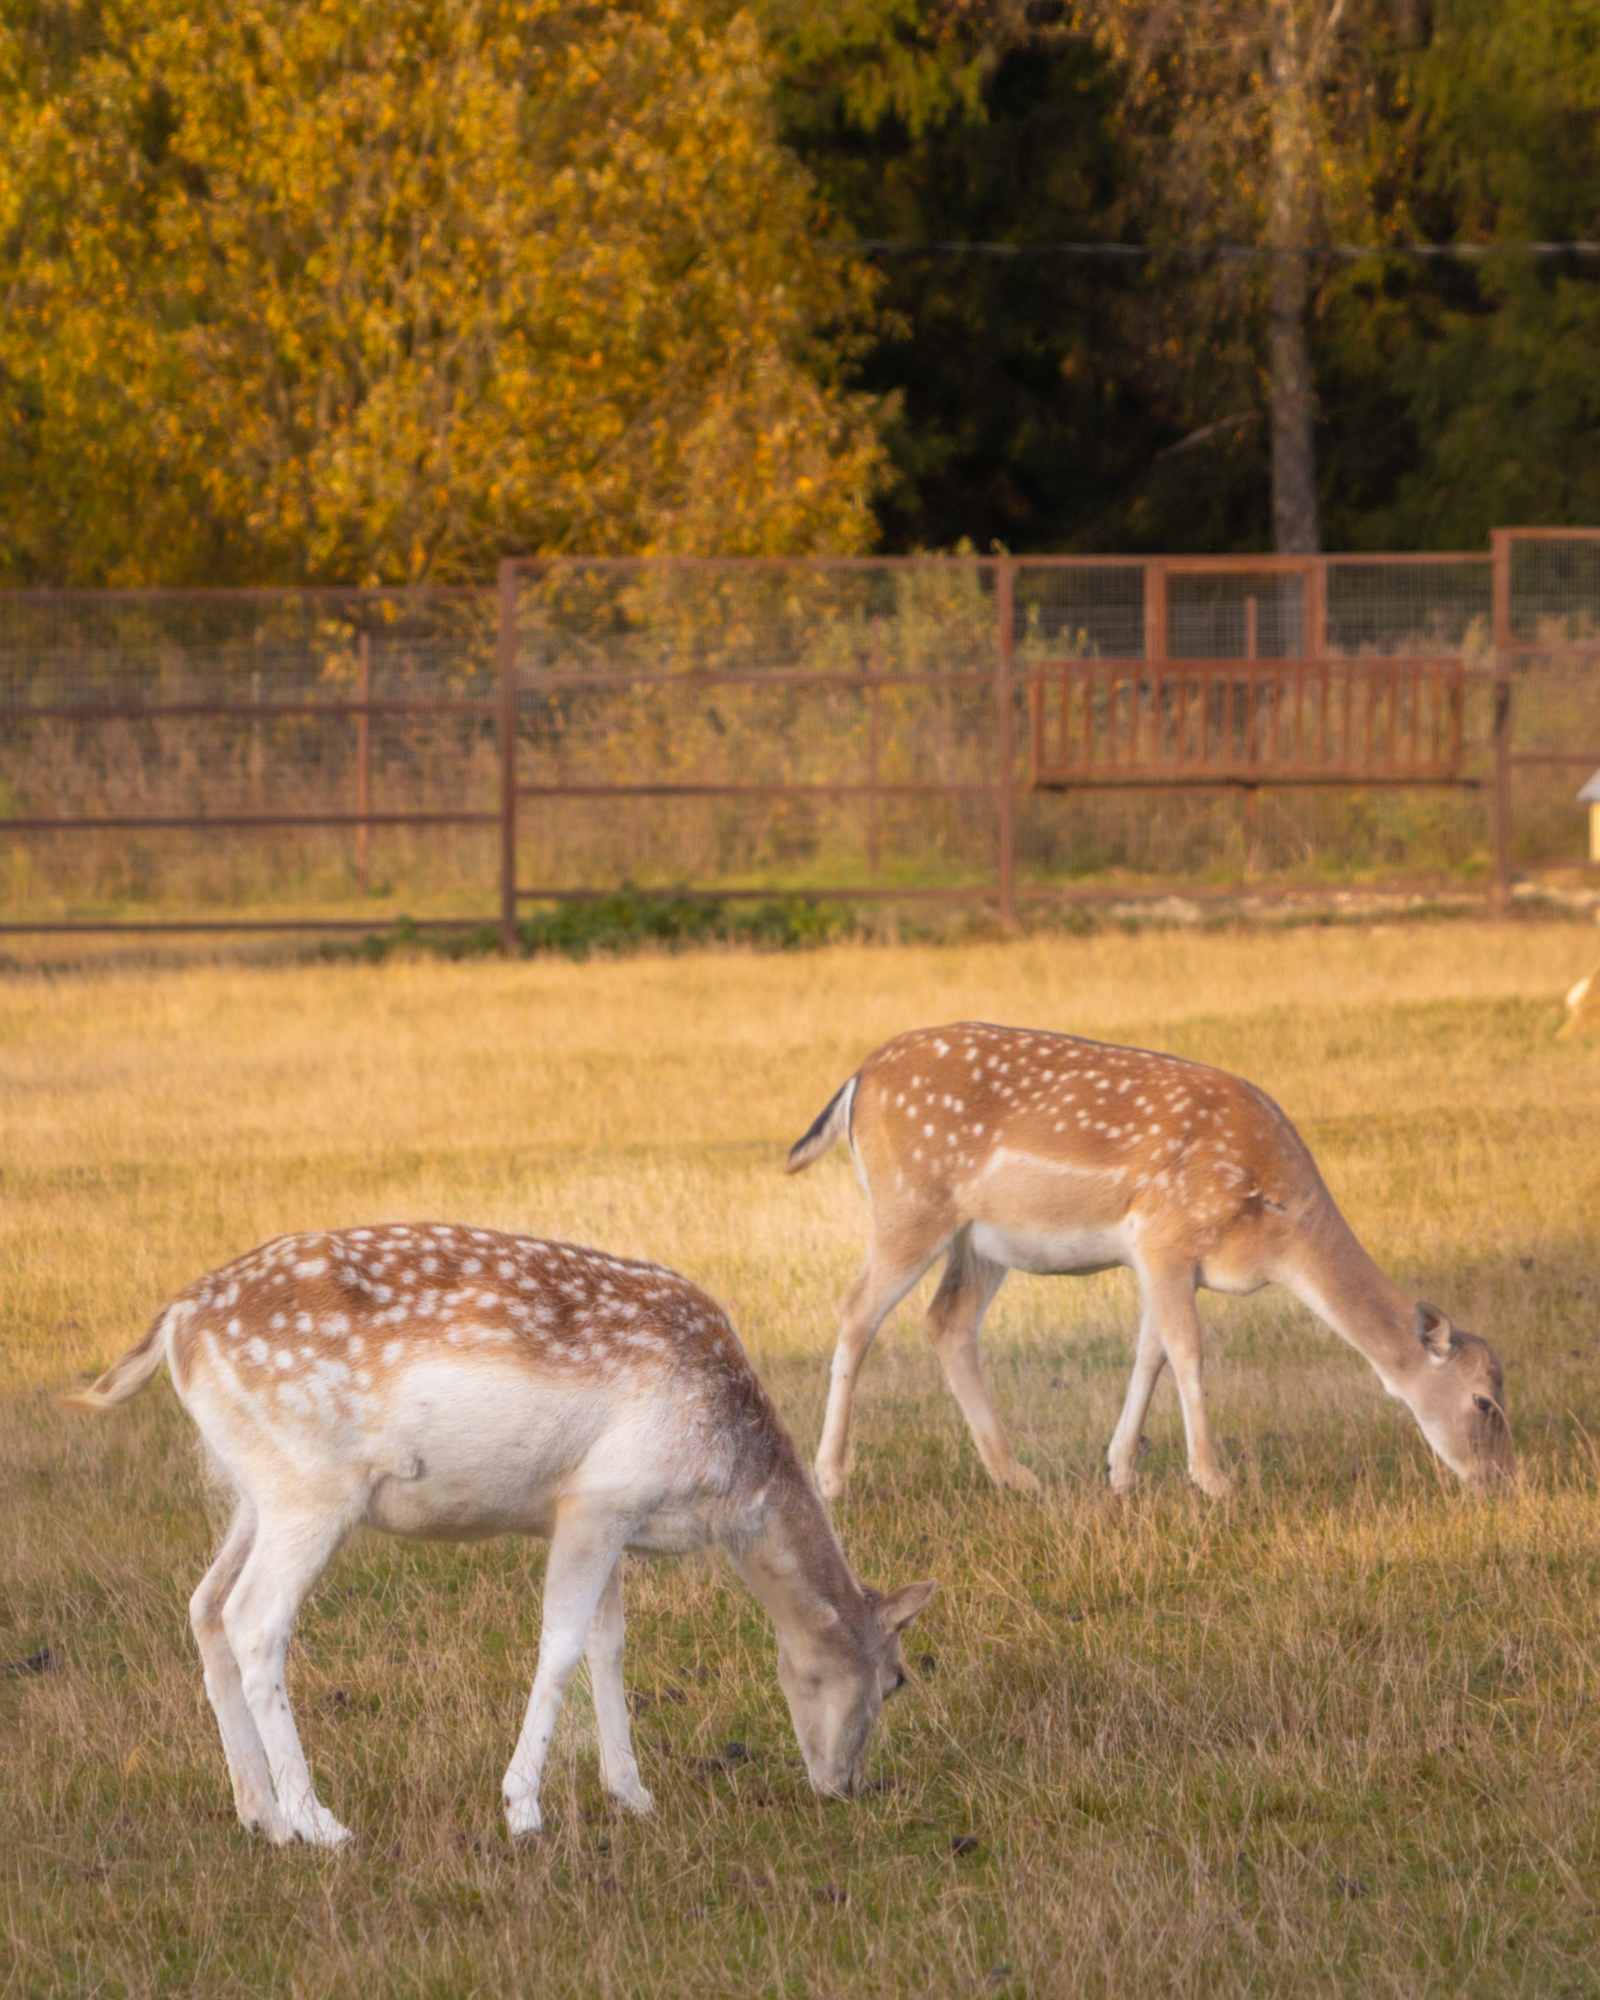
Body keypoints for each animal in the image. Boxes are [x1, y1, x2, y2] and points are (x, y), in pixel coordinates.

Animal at [59, 1224, 936, 1848]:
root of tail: (175, 1321)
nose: (846, 1785)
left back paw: (262, 1817)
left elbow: (608, 1645)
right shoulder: (600, 1497)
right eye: (897, 1678)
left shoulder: (602, 1514)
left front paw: (632, 1793)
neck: (727, 1479)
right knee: (253, 1620)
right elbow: (561, 1641)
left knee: (205, 1606)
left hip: (253, 1489)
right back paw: (319, 1822)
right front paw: (522, 1809)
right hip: (311, 1489)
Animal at [788, 1032, 1512, 1504]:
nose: (1501, 1480)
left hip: (980, 1240)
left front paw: (1121, 1472)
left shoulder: (1159, 1260)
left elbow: (1151, 1352)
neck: (1276, 1237)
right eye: (1483, 1400)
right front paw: (1213, 1481)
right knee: (856, 1311)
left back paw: (1015, 1474)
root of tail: (855, 1083)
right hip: (911, 1202)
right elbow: (1188, 1350)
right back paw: (831, 1479)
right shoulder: (1167, 1236)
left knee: (947, 1322)